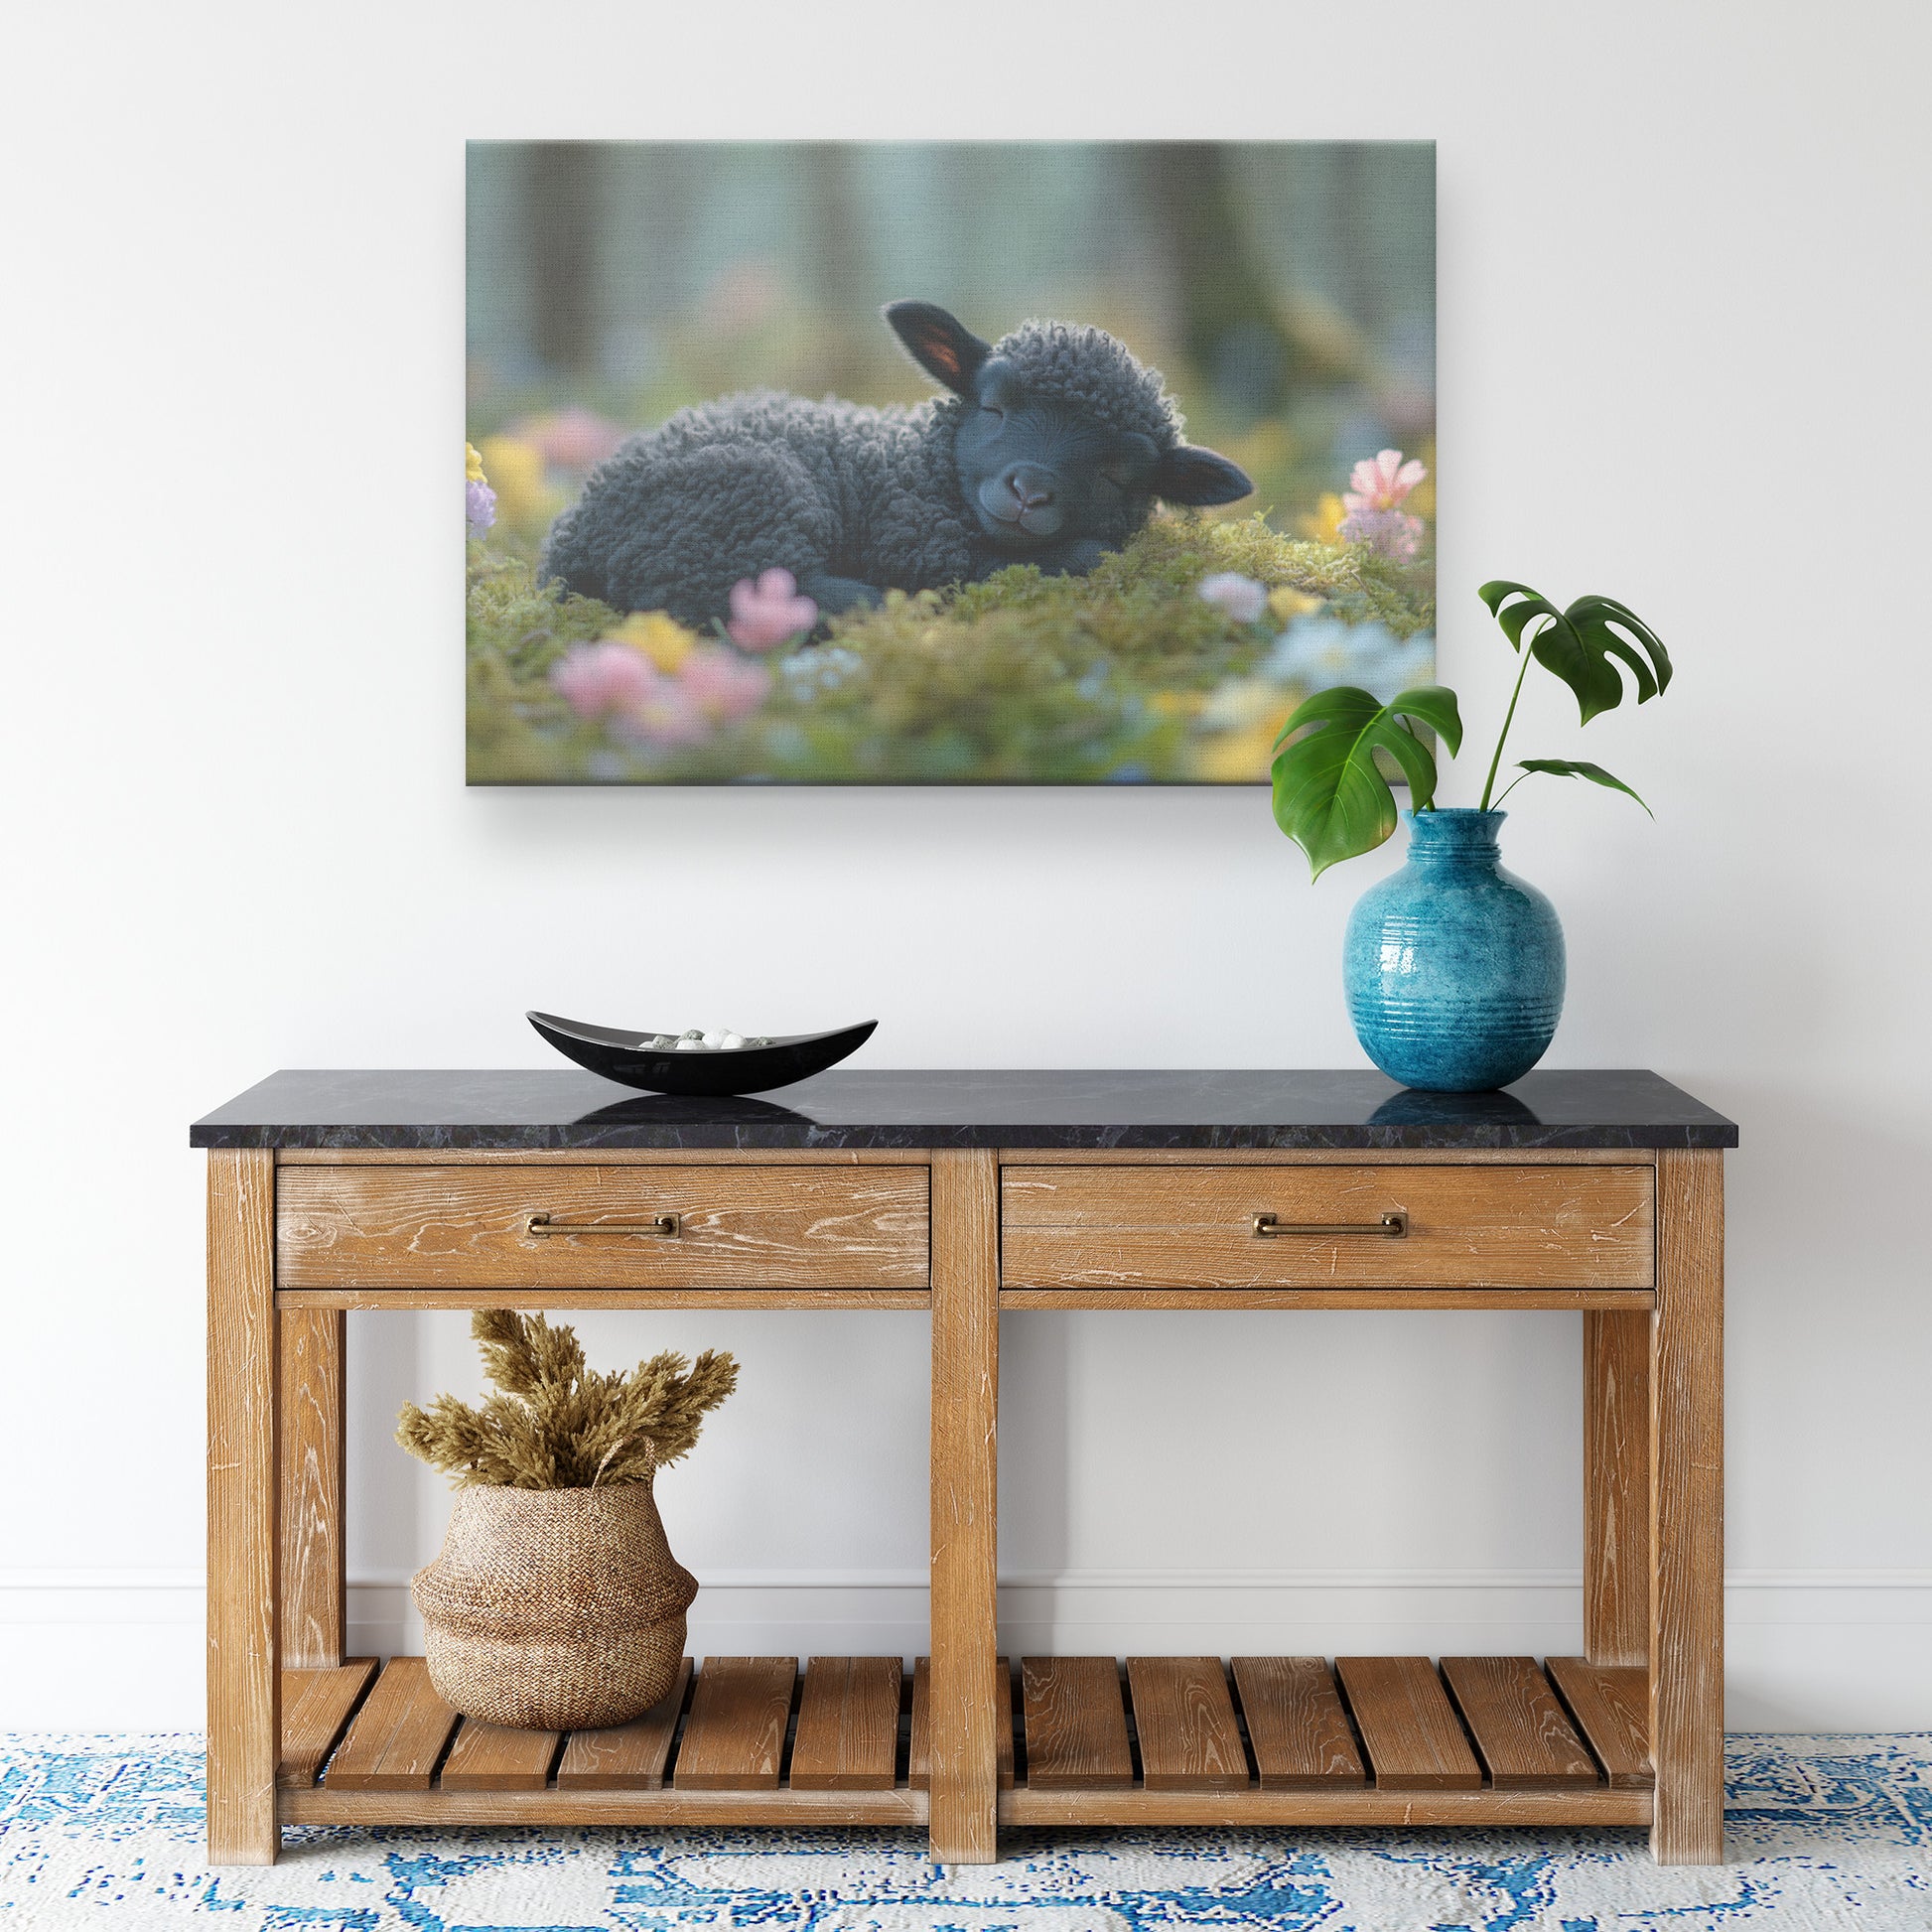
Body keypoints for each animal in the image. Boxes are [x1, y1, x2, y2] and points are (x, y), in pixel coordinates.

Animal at [538, 301, 1253, 629]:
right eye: (993, 407)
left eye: (1116, 473)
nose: (1029, 491)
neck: (916, 464)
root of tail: (571, 547)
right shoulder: (920, 547)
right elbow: (1061, 558)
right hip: (739, 510)